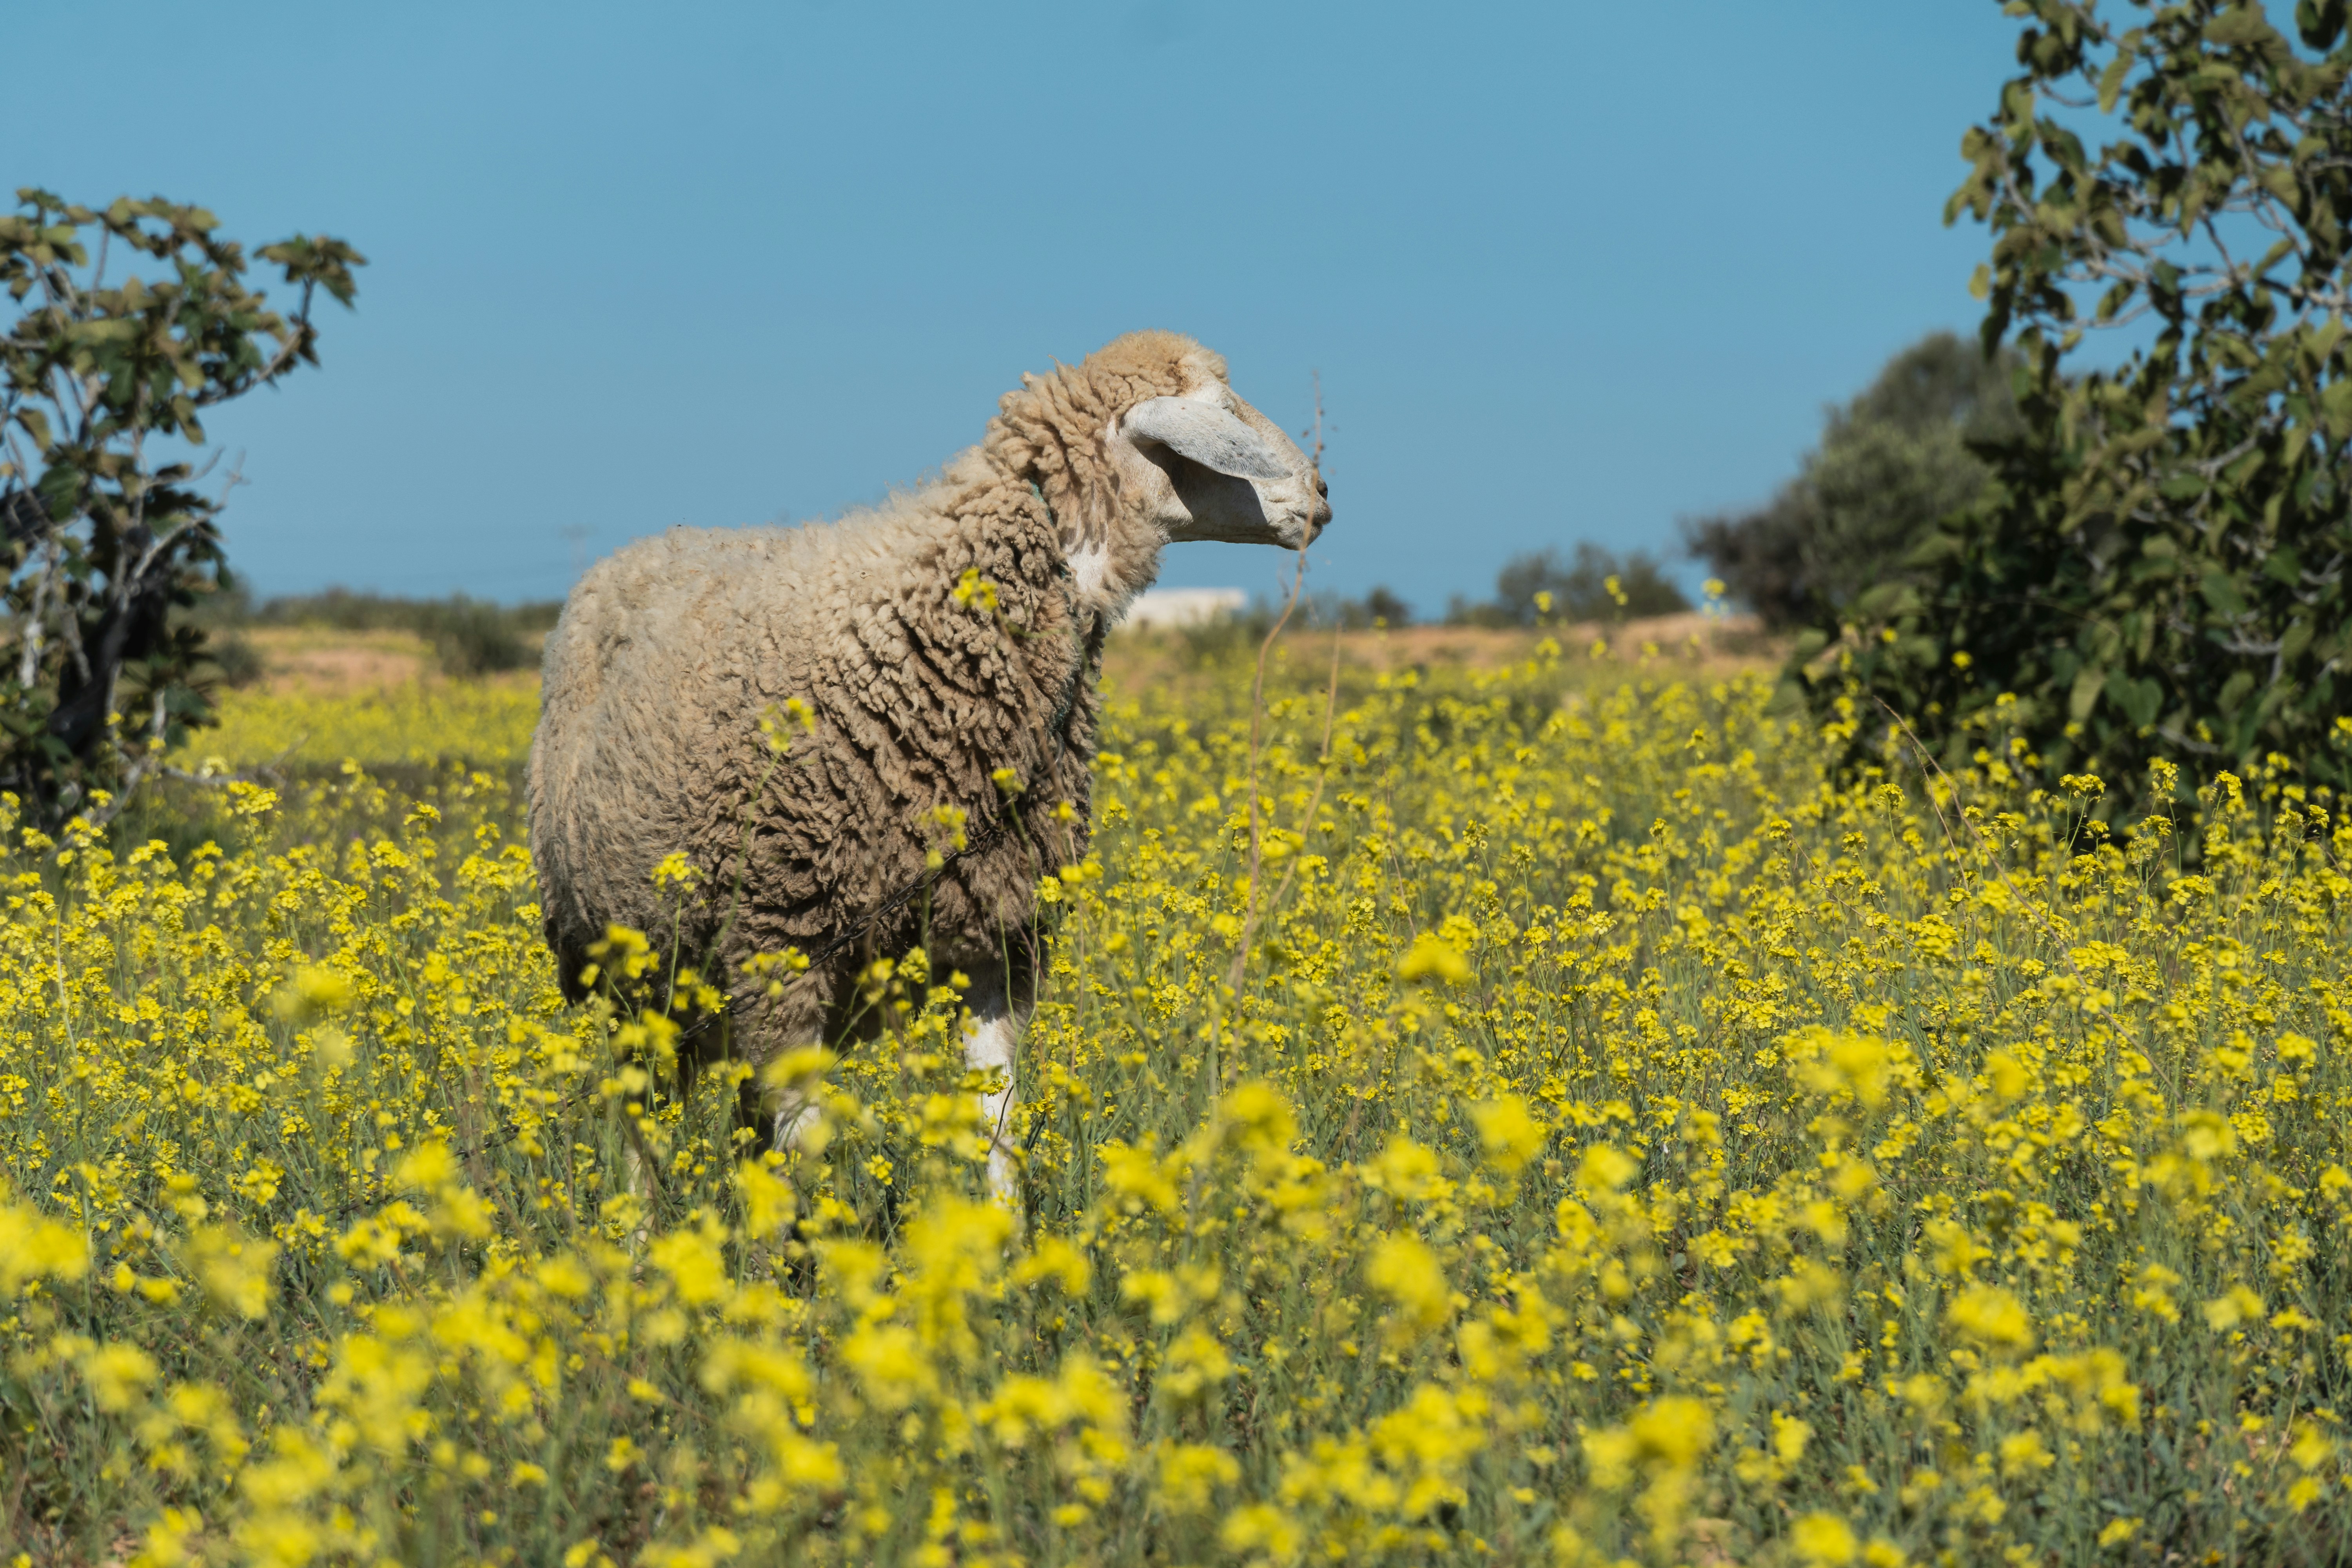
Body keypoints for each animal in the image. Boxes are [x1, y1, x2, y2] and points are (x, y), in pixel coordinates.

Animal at [527, 330, 1330, 1203]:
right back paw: (641, 1231)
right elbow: (812, 1145)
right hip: (622, 965)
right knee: (643, 1130)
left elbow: (998, 1117)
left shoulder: (994, 937)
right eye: (1220, 410)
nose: (1324, 494)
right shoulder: (782, 944)